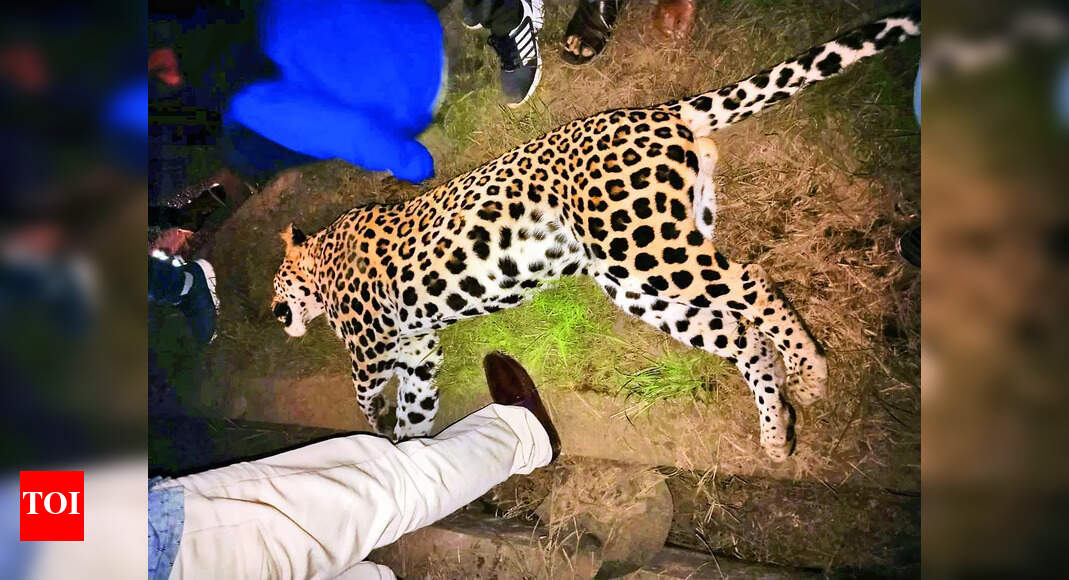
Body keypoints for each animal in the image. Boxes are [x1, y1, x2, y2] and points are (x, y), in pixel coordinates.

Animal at [271, 9, 920, 460]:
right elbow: (415, 412)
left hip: (646, 249)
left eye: (276, 296)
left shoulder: (372, 349)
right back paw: (777, 430)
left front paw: (378, 426)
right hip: (638, 282)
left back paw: (809, 375)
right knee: (743, 335)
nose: (278, 322)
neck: (321, 259)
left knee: (754, 282)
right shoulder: (420, 354)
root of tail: (660, 111)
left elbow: (362, 390)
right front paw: (405, 447)